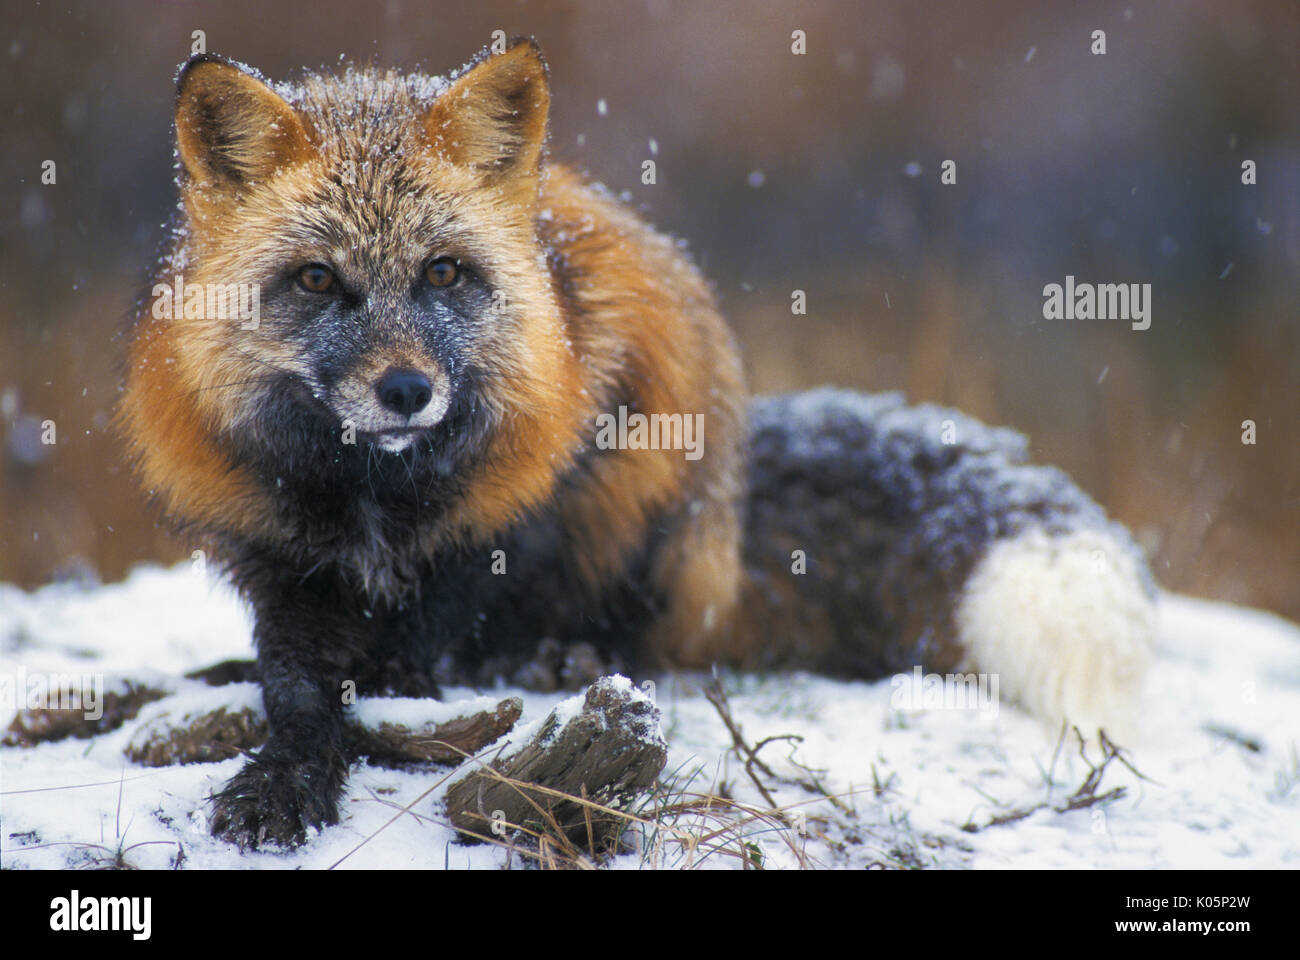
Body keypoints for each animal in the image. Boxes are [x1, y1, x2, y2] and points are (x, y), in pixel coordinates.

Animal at [119, 39, 1156, 850]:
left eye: (442, 273)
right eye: (316, 279)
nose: (407, 391)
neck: (379, 493)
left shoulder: (516, 503)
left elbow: (425, 635)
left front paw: (402, 696)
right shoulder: (275, 548)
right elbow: (296, 689)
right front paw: (286, 776)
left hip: (650, 482)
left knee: (638, 637)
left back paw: (555, 661)